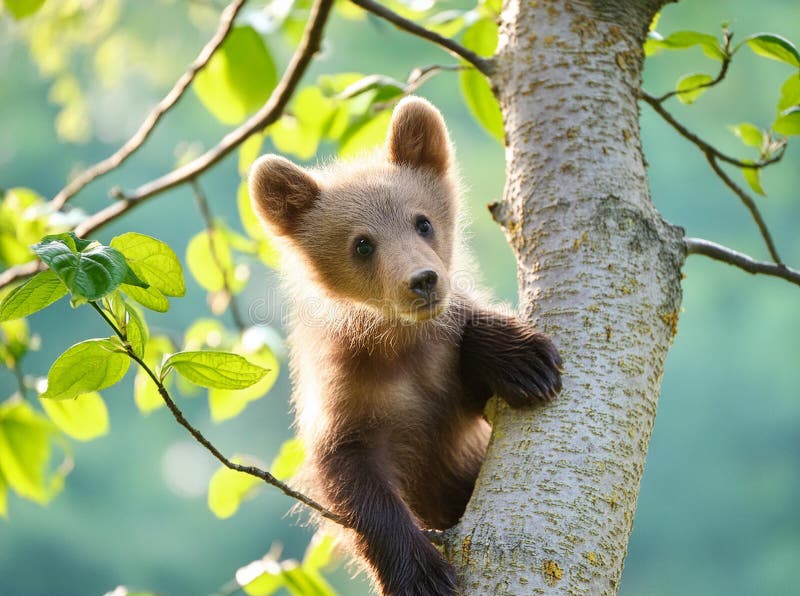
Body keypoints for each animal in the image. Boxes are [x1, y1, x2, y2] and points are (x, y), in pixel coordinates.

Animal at [248, 96, 562, 596]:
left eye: (423, 222)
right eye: (361, 244)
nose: (423, 280)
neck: (395, 347)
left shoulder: (441, 384)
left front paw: (525, 360)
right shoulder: (345, 398)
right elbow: (359, 489)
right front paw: (422, 575)